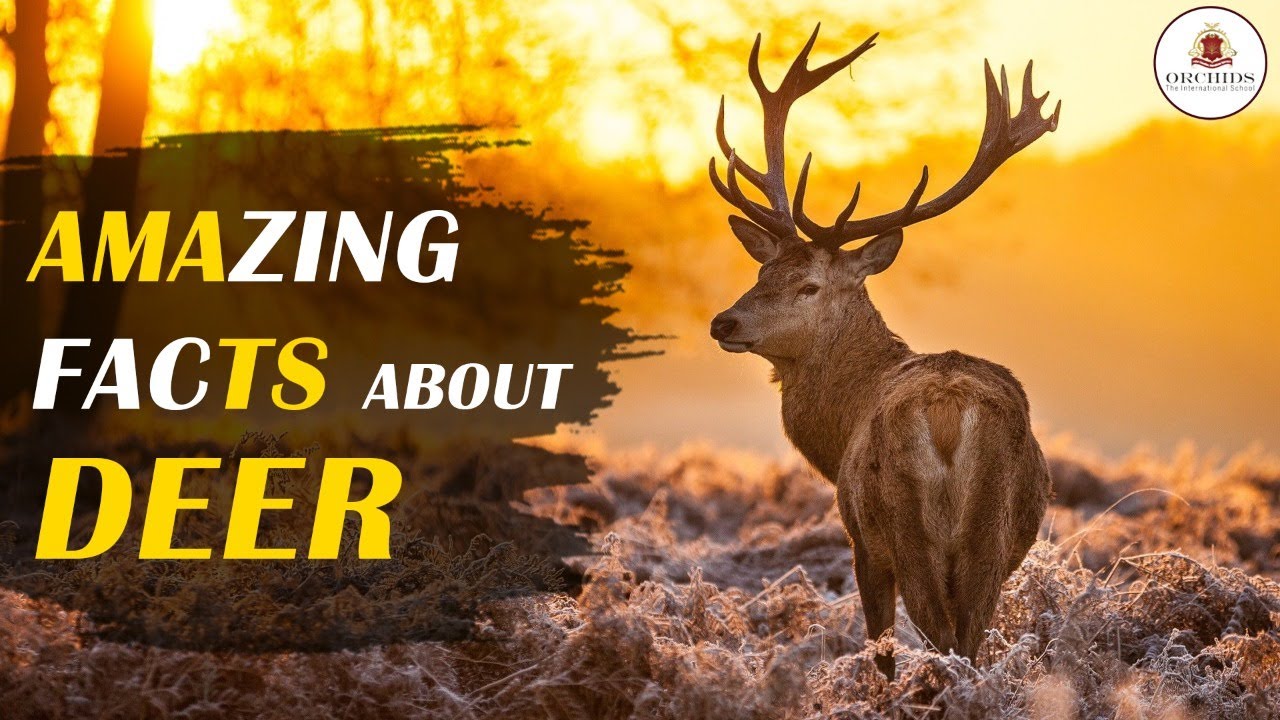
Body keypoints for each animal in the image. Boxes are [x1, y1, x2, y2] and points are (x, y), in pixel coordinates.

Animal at [708, 25, 1058, 678]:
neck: (839, 426)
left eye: (809, 285)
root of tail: (949, 415)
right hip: (991, 537)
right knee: (969, 637)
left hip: (904, 525)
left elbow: (881, 647)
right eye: (762, 270)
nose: (724, 321)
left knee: (939, 634)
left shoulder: (861, 540)